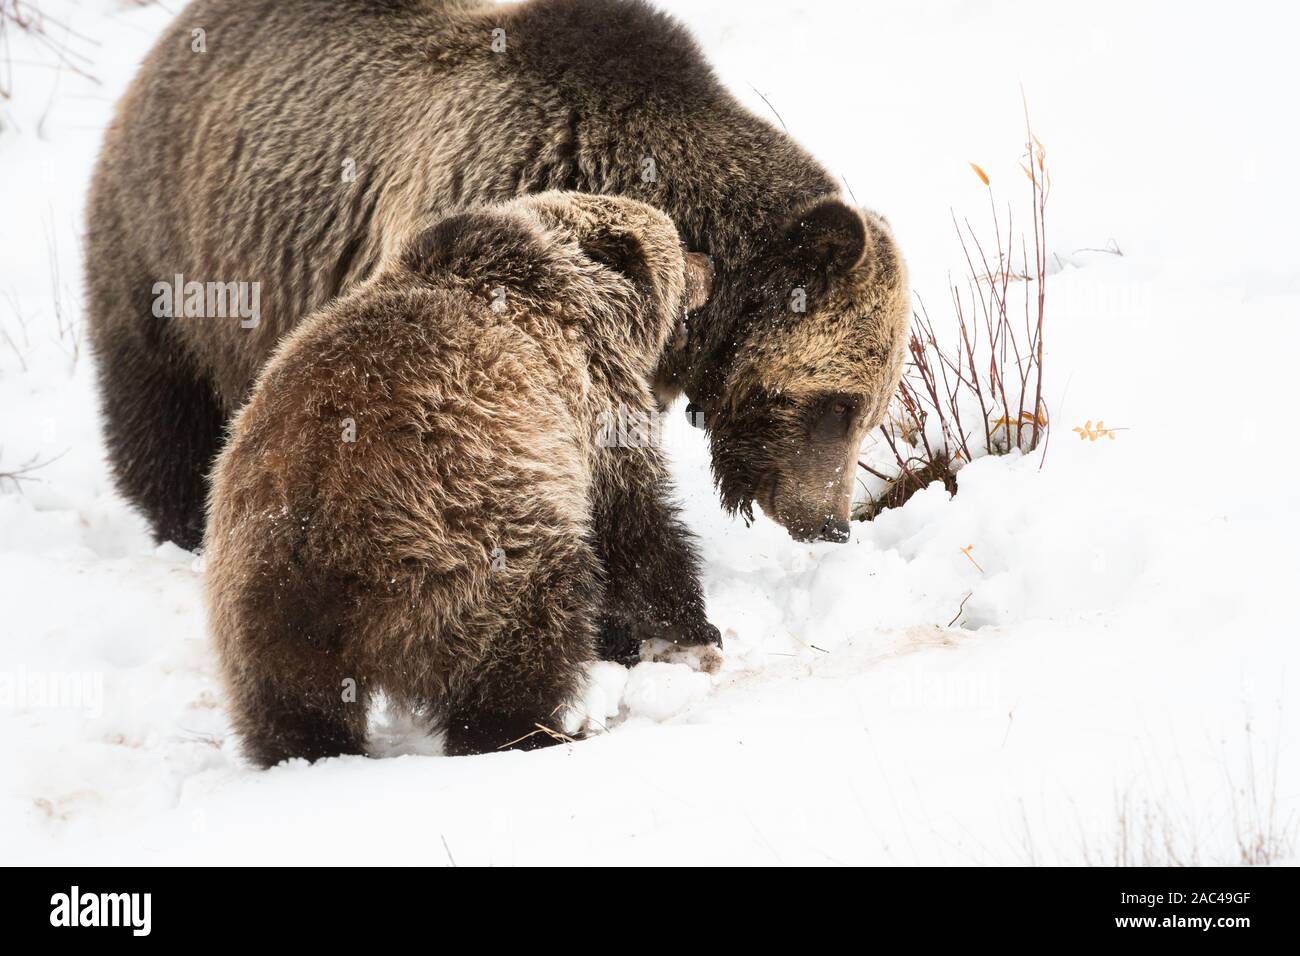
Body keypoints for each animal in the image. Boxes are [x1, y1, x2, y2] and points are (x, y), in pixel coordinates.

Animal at [85, 0, 910, 558]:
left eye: (869, 412)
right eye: (836, 405)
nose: (830, 522)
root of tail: (172, 36)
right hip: (173, 247)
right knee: (164, 398)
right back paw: (188, 522)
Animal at [205, 191, 717, 767]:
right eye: (677, 242)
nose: (710, 265)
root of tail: (314, 545)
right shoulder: (589, 406)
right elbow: (634, 526)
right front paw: (694, 623)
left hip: (254, 603)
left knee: (290, 704)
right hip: (460, 546)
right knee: (525, 629)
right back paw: (532, 731)